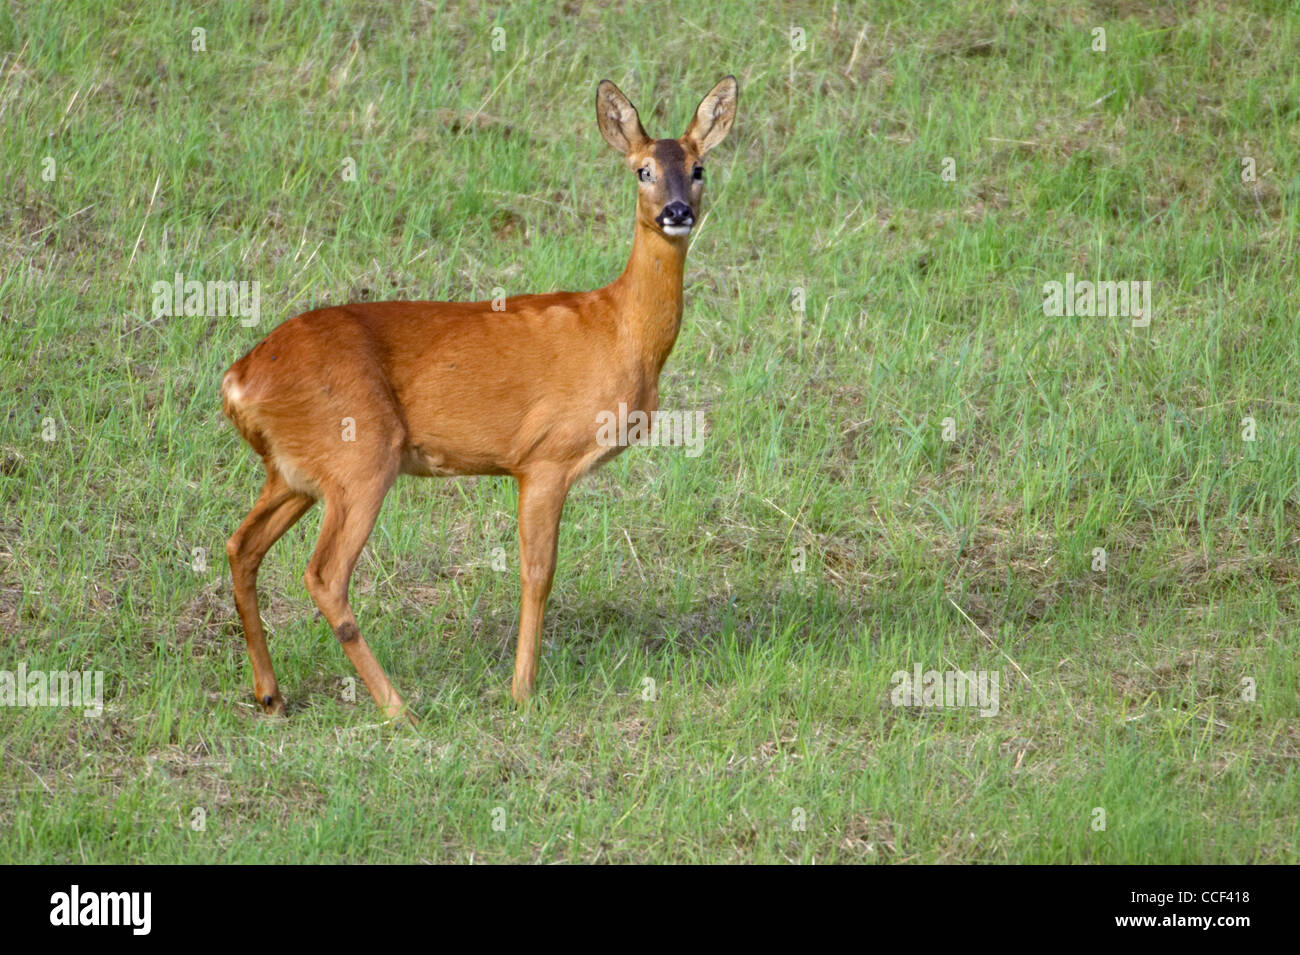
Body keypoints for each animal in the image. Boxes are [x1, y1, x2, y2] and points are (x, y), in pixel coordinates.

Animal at [220, 76, 738, 720]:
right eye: (642, 169)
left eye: (699, 167)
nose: (677, 212)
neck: (619, 329)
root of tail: (239, 379)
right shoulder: (545, 457)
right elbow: (537, 573)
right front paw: (522, 692)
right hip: (360, 456)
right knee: (324, 574)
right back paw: (399, 708)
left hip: (295, 471)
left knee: (241, 546)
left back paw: (270, 694)